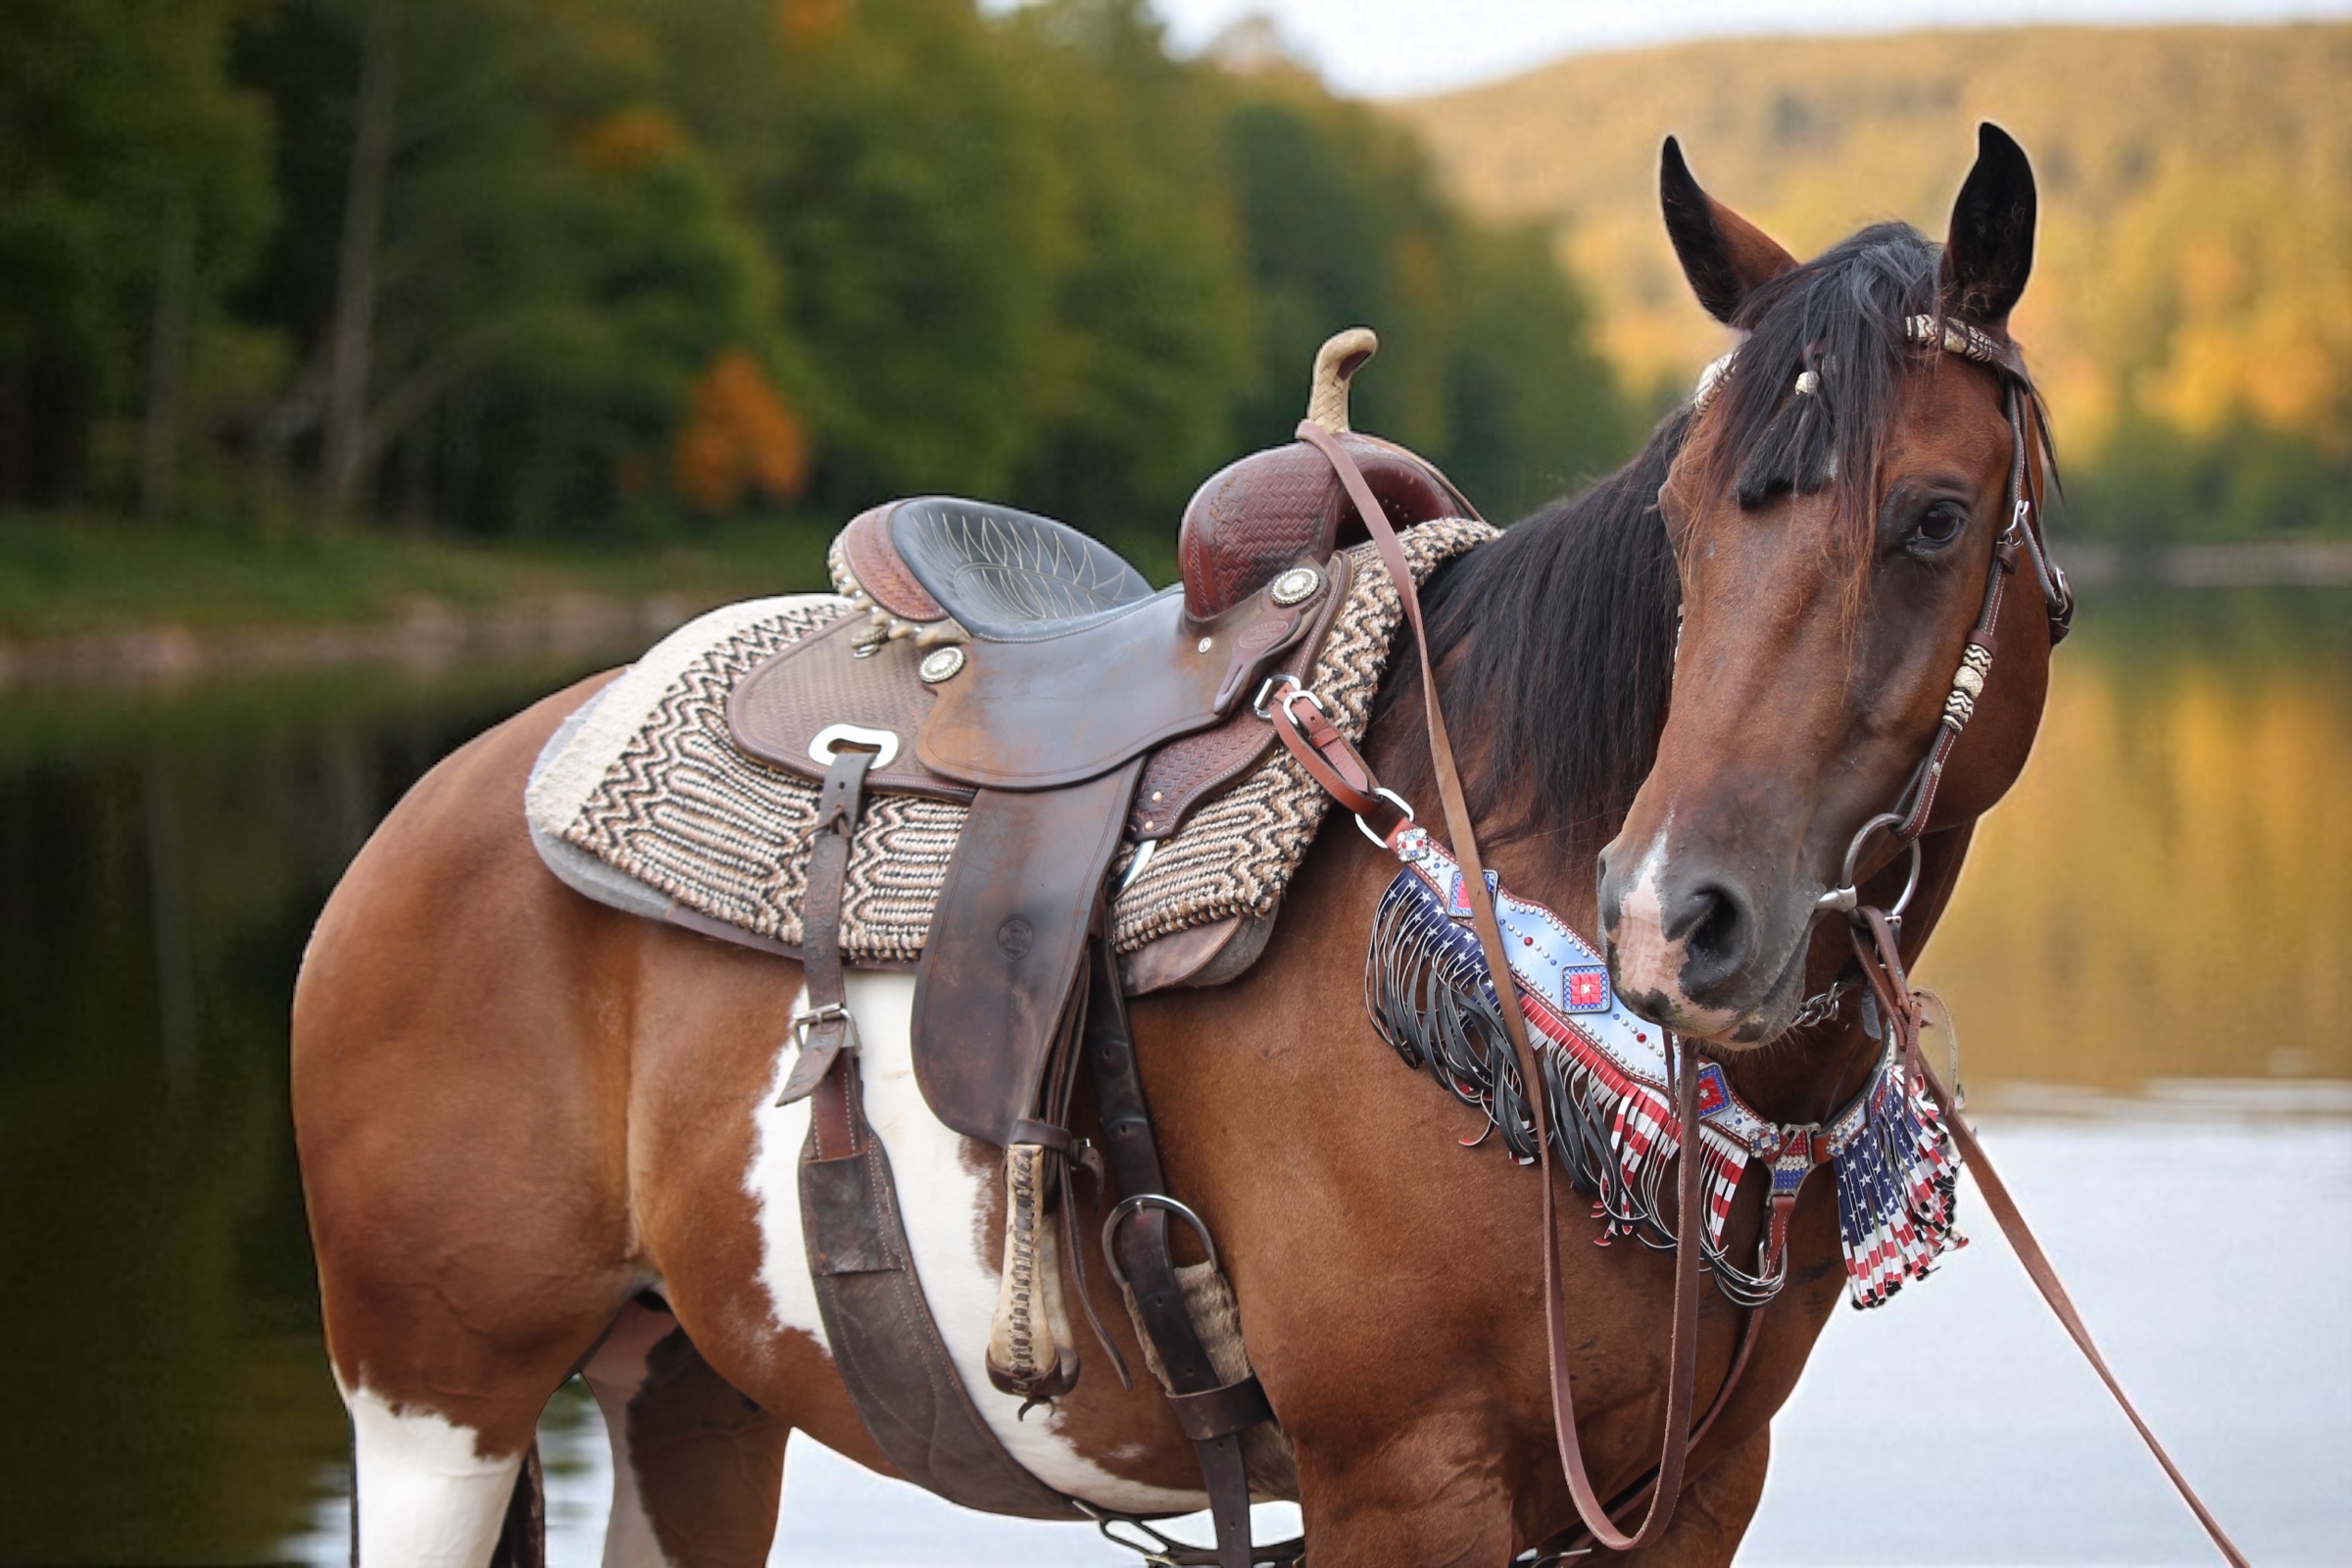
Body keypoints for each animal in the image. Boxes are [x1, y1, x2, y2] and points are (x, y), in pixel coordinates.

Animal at [293, 125, 2058, 1566]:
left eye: (1934, 517)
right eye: (1680, 523)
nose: (1672, 920)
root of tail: (445, 801)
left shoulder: (1695, 1493)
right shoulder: (1402, 1485)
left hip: (688, 1393)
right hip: (435, 1402)